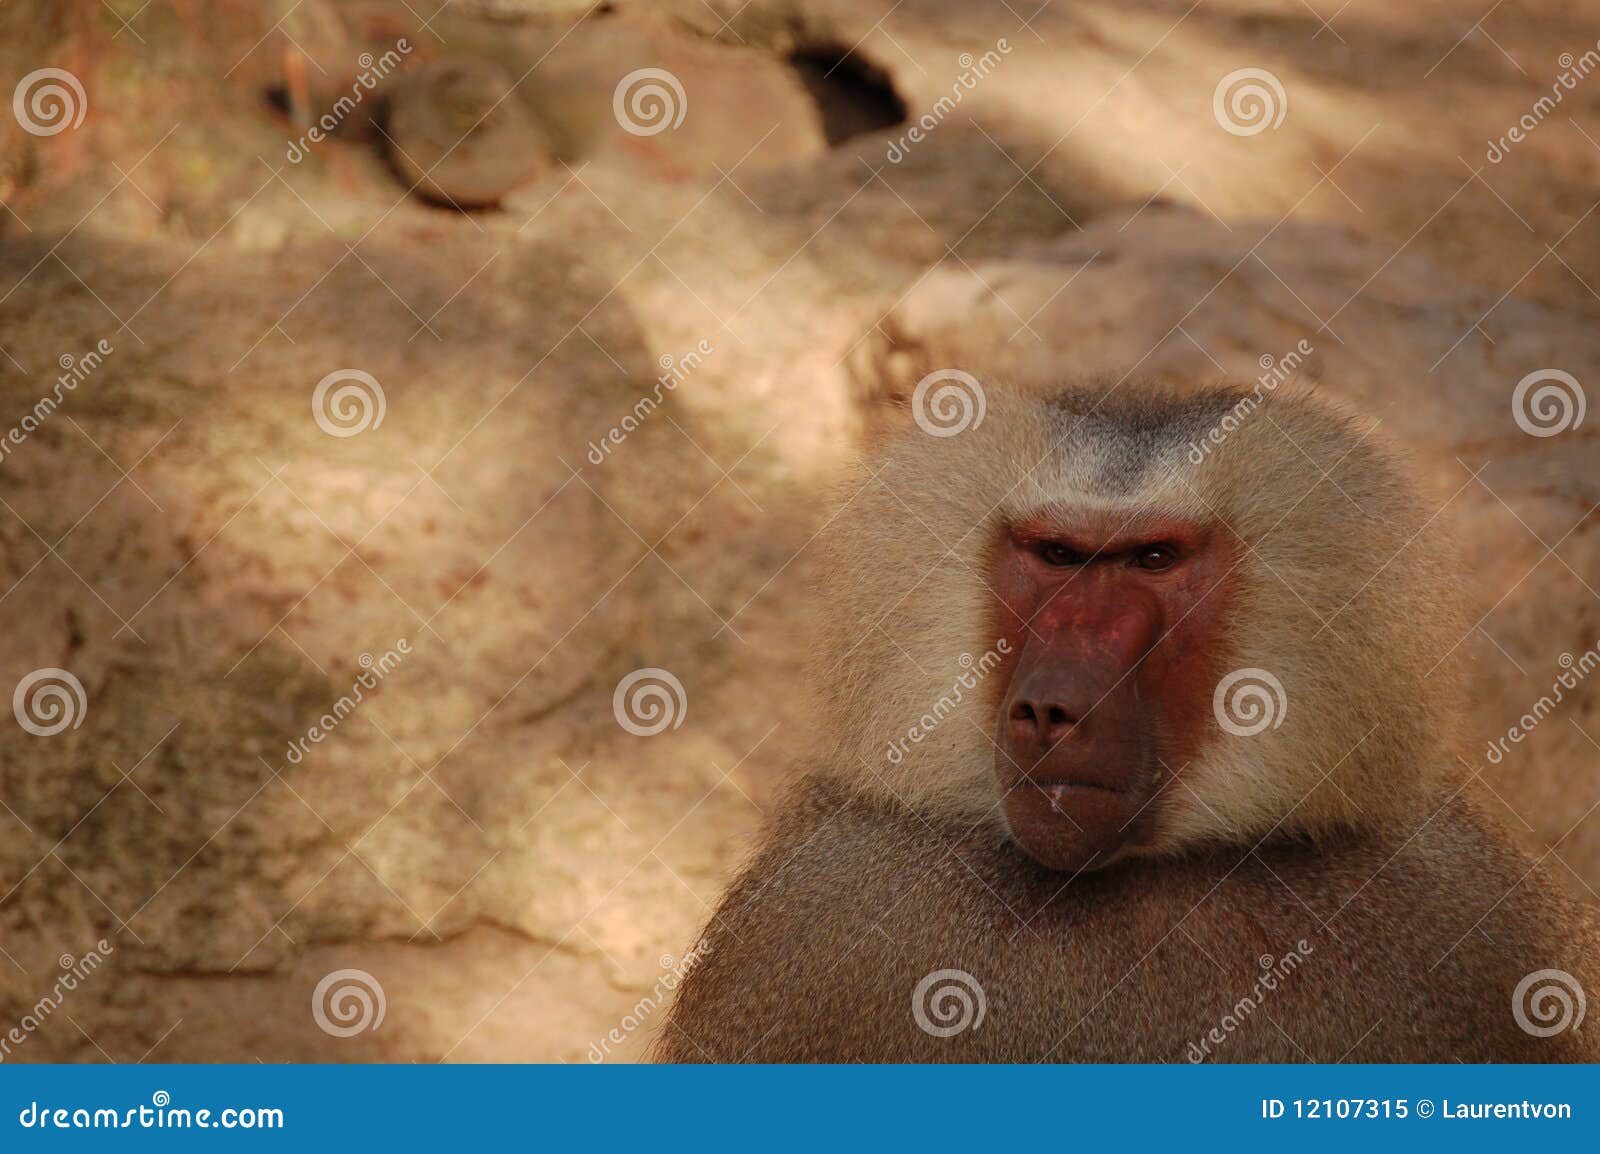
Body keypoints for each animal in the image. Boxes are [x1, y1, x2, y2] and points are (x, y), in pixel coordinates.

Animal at [656, 380, 1600, 1063]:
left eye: (1153, 558)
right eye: (1056, 555)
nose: (1052, 707)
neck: (1139, 881)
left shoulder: (1472, 922)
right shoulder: (814, 919)